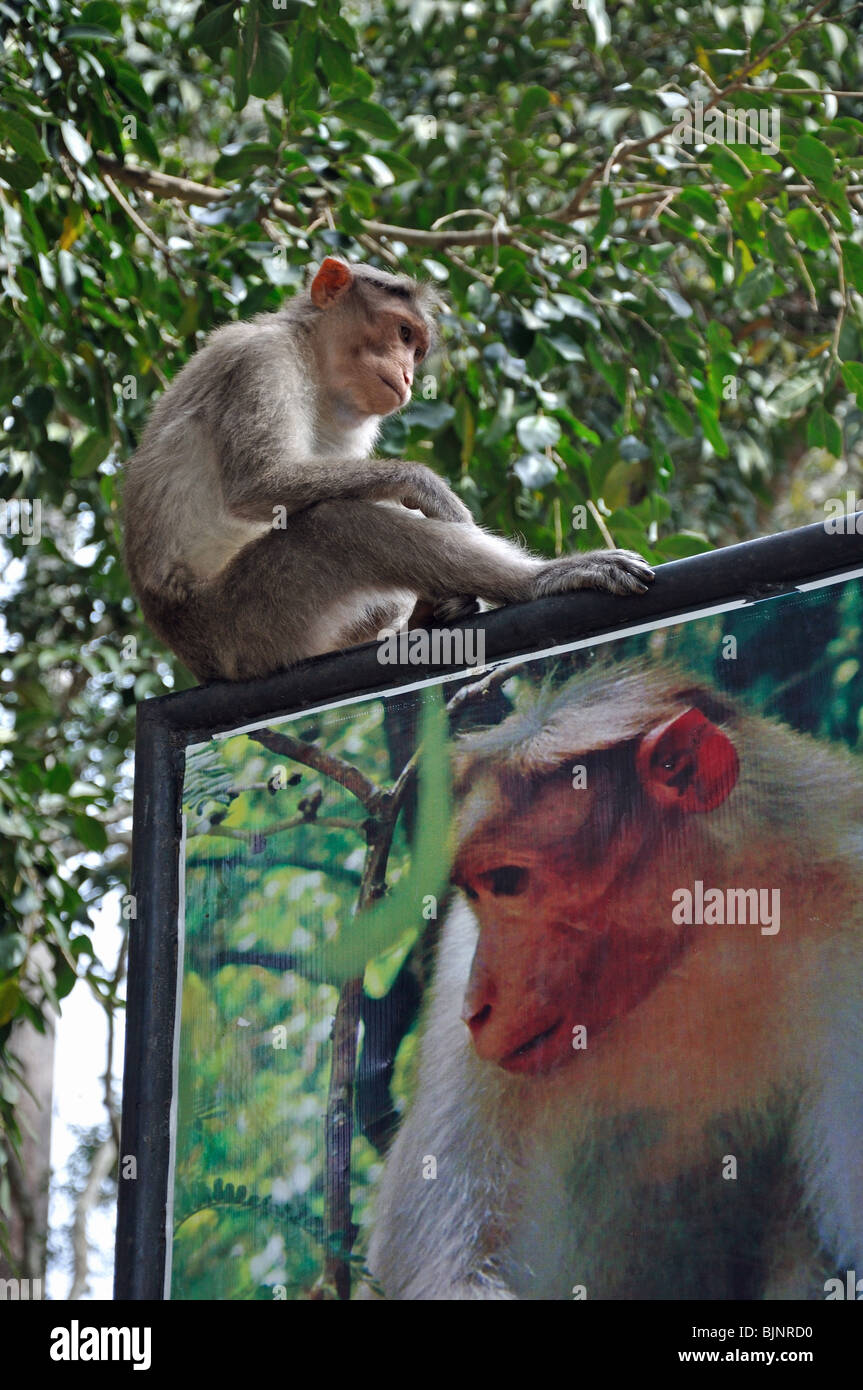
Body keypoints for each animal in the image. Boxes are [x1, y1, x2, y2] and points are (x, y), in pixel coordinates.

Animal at [122, 258, 654, 682]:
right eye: (402, 333)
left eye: (416, 350)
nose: (409, 376)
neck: (311, 361)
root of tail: (196, 658)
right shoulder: (260, 360)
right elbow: (259, 483)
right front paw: (428, 488)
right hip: (246, 624)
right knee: (338, 524)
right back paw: (538, 580)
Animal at [364, 661, 863, 1300]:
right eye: (474, 892)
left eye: (507, 881)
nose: (477, 1009)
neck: (703, 944)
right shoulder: (457, 966)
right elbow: (444, 1266)